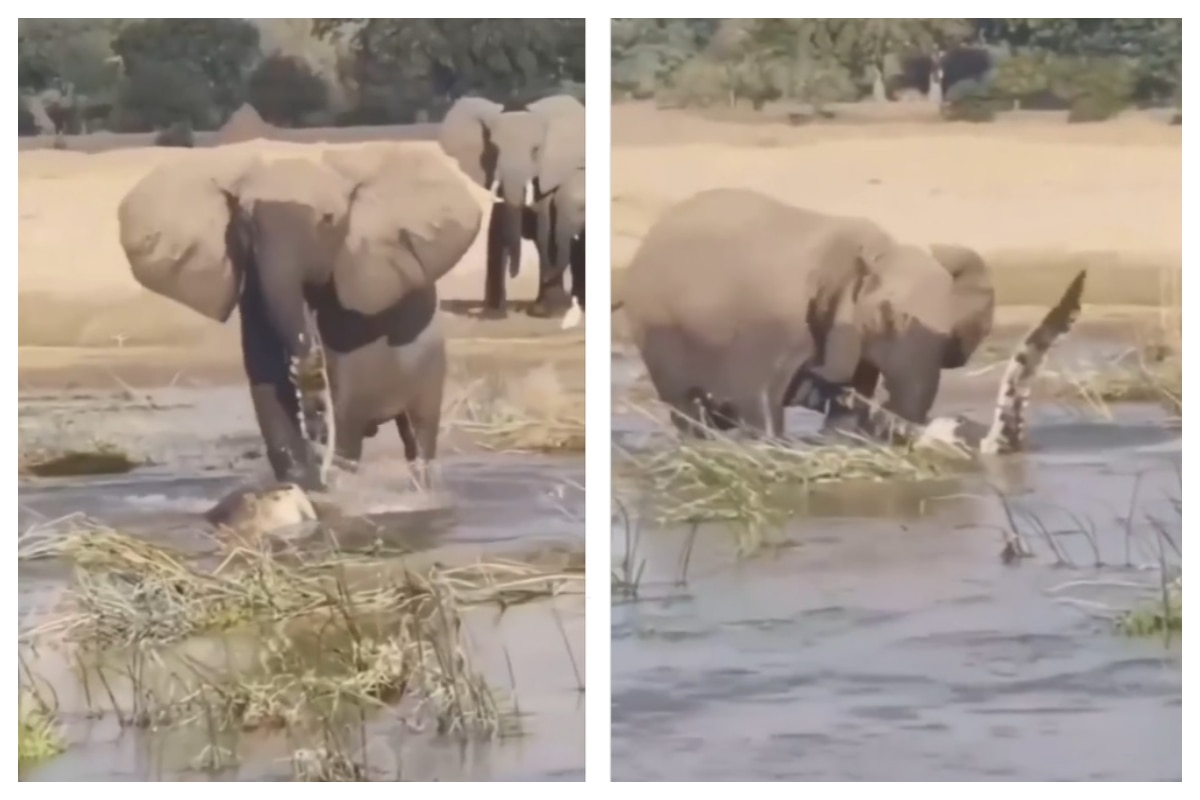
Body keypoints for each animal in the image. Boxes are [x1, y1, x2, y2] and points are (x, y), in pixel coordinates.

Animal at [118, 146, 481, 491]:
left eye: (329, 219)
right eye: (244, 223)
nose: (308, 370)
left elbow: (347, 394)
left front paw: (329, 484)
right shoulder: (255, 289)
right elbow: (265, 379)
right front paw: (304, 484)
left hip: (430, 365)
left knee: (418, 435)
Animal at [438, 93, 585, 318]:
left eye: (536, 150)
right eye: (494, 149)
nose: (514, 273)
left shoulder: (547, 176)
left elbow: (544, 232)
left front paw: (544, 311)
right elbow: (497, 229)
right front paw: (493, 313)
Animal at [617, 187, 995, 440]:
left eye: (952, 333)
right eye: (887, 317)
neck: (874, 251)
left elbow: (847, 407)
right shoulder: (774, 322)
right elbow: (758, 401)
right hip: (655, 326)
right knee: (685, 406)